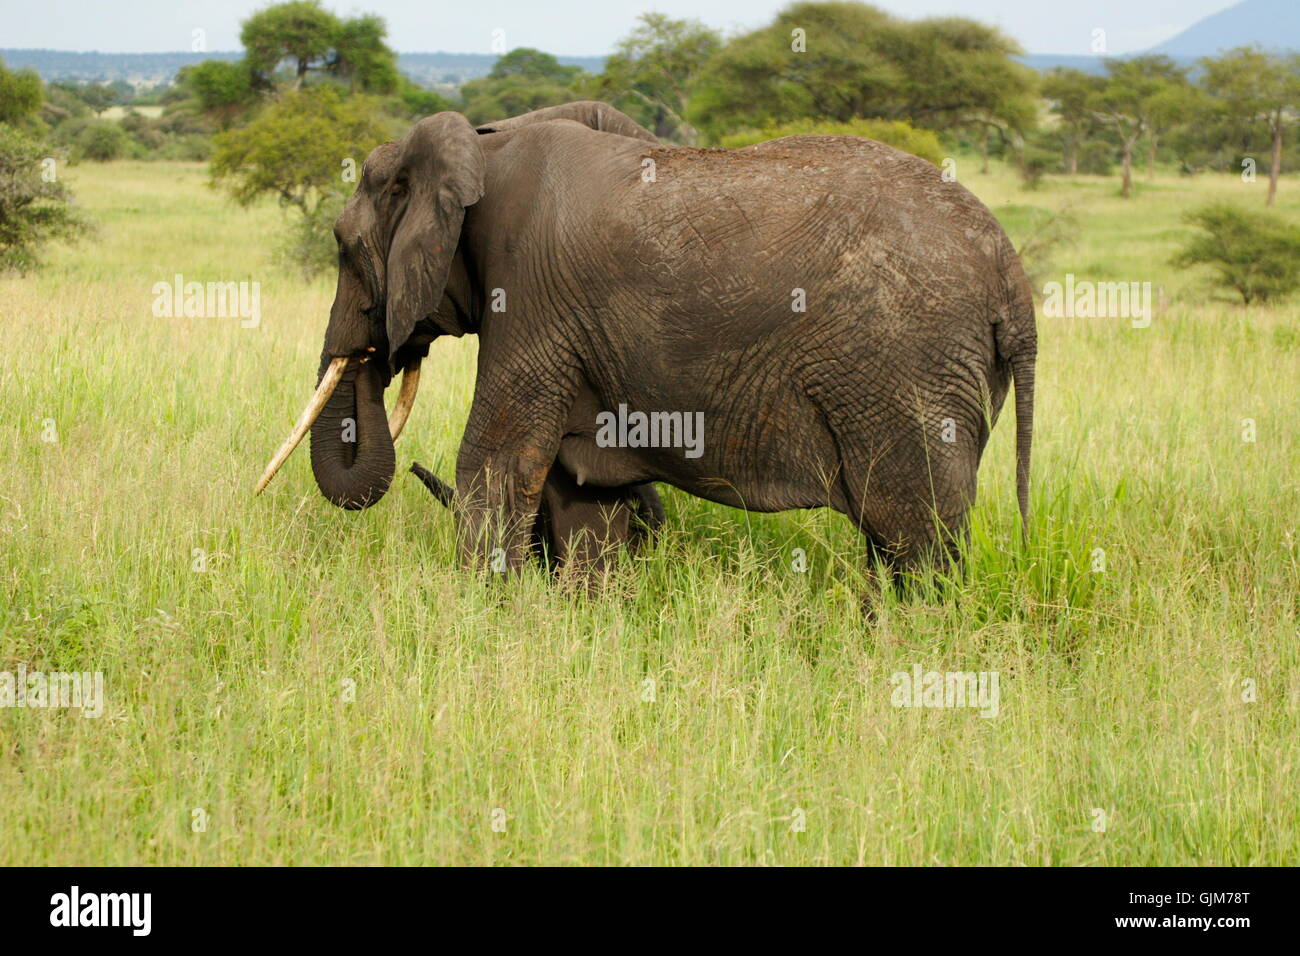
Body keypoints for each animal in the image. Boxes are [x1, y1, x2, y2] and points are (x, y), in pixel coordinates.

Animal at [255, 100, 1036, 582]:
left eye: (343, 246)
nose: (378, 351)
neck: (482, 142)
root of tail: (1013, 276)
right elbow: (583, 490)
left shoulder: (530, 297)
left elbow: (496, 462)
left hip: (907, 367)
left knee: (912, 532)